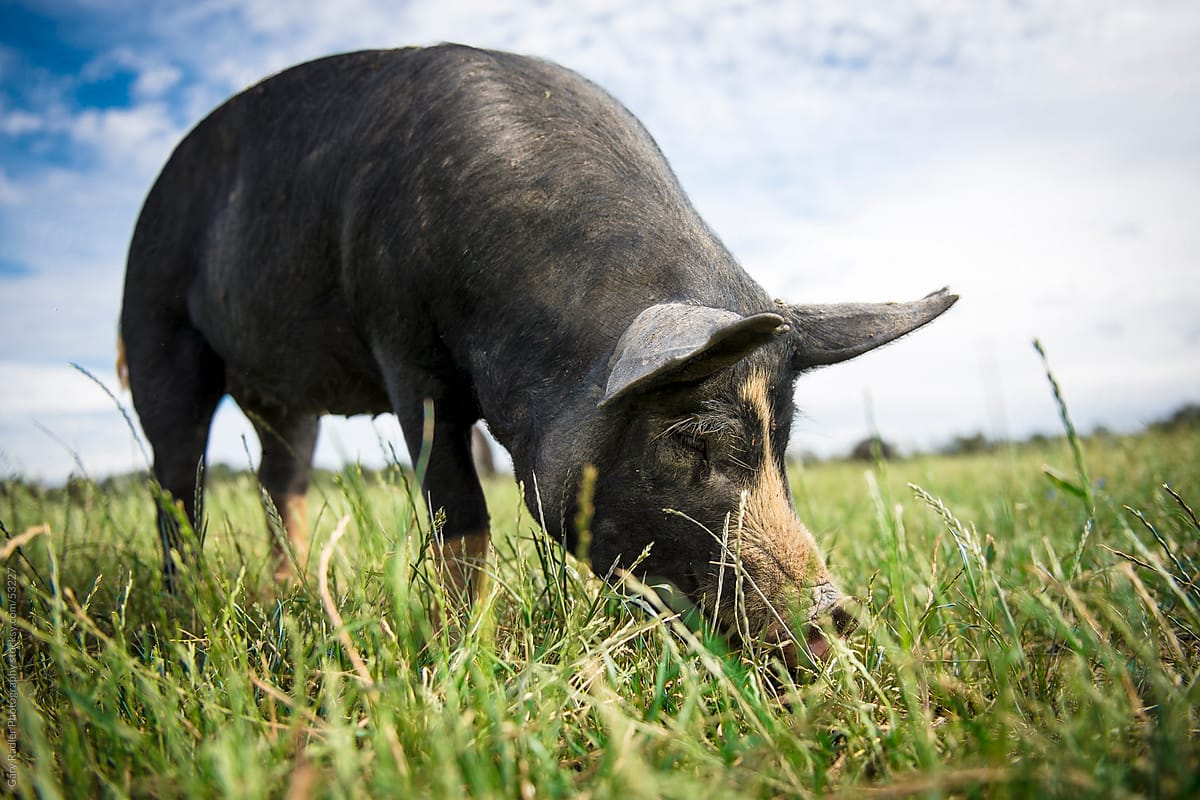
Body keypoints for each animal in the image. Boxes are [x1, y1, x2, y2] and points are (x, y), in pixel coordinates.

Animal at [119, 44, 956, 664]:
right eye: (692, 439)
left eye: (784, 441)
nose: (838, 616)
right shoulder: (403, 351)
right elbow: (459, 507)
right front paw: (469, 655)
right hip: (155, 323)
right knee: (177, 483)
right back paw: (187, 620)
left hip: (287, 402)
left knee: (279, 480)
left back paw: (285, 601)